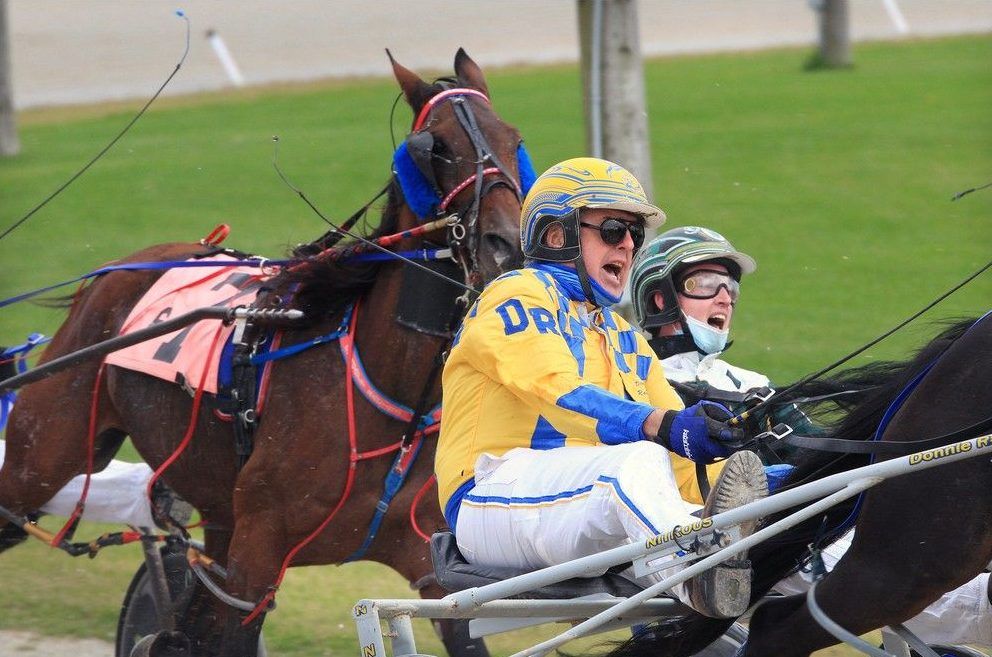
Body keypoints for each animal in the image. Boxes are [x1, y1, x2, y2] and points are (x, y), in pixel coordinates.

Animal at [0, 49, 527, 657]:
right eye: (434, 147)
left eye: (513, 138)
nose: (505, 244)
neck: (386, 390)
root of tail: (117, 270)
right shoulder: (255, 562)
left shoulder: (428, 561)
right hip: (42, 455)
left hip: (217, 515)